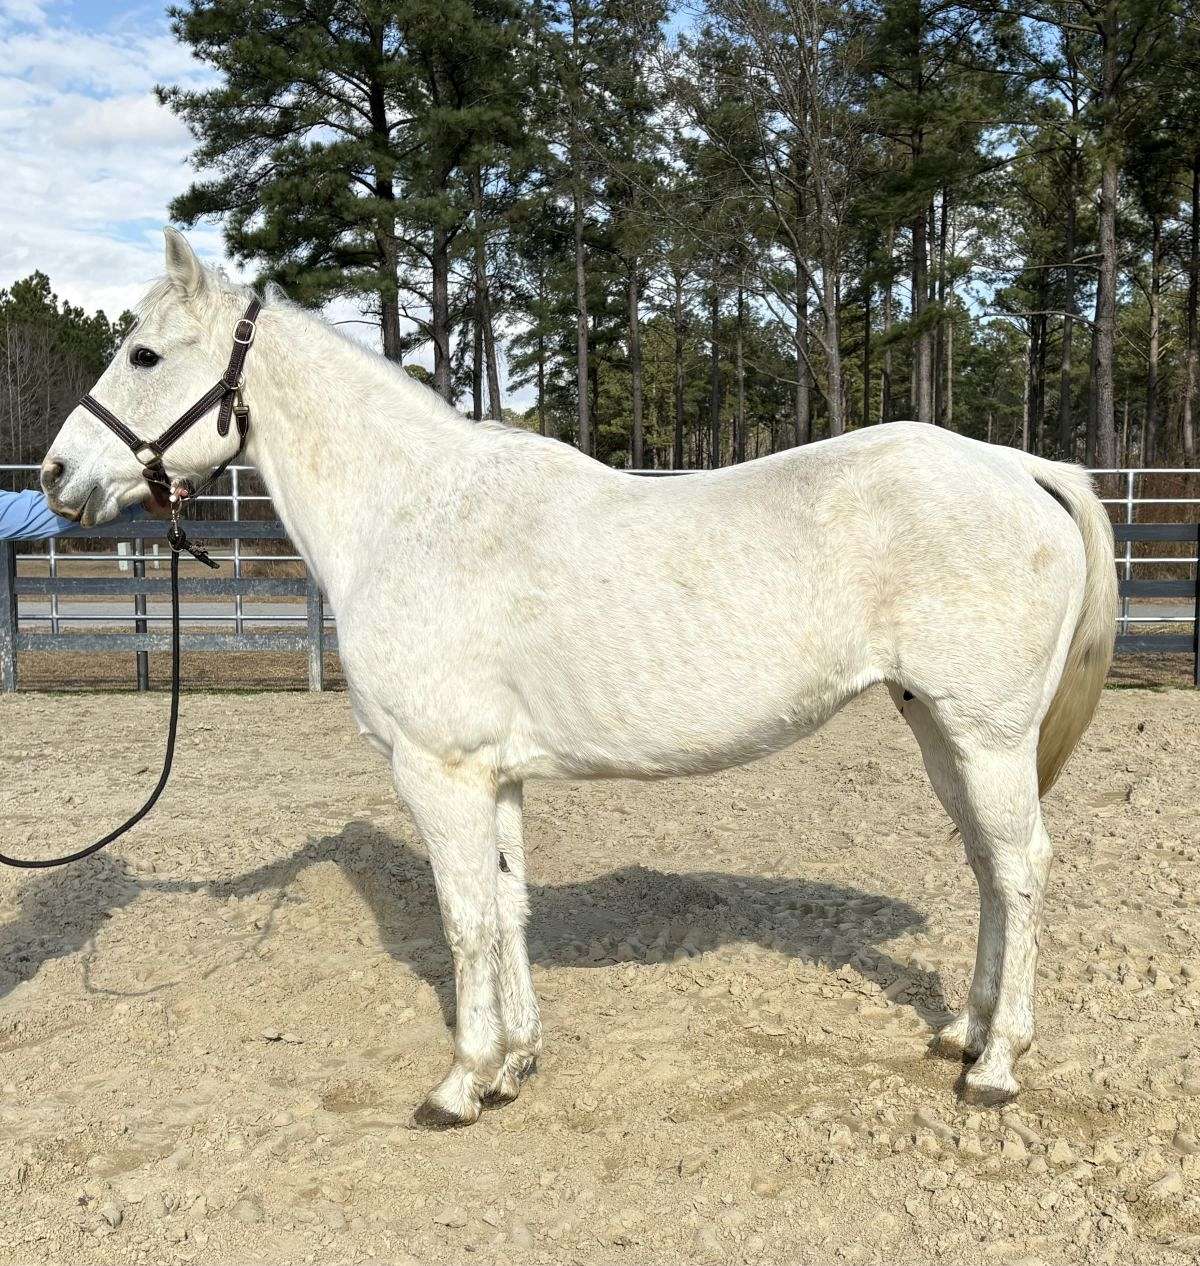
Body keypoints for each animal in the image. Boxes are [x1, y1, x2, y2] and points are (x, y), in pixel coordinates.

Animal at [40, 229, 1116, 1128]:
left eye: (144, 355)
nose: (56, 476)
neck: (412, 512)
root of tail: (1018, 466)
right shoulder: (495, 776)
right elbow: (509, 909)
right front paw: (516, 1061)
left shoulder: (436, 772)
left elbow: (465, 920)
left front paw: (461, 1082)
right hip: (939, 730)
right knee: (986, 868)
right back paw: (963, 1033)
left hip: (987, 735)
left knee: (1021, 868)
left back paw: (997, 1066)